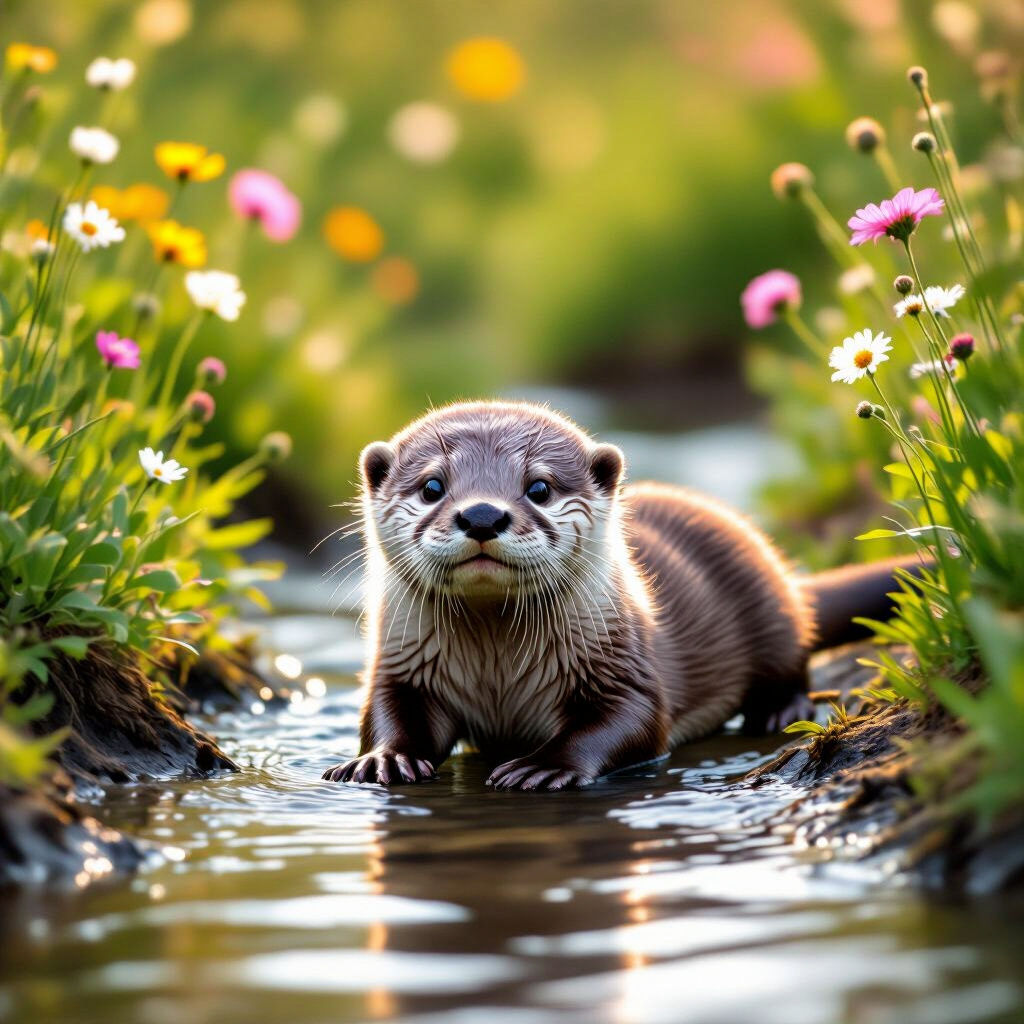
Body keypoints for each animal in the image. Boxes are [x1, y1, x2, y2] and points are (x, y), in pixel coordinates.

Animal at [322, 401, 919, 791]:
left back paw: (778, 710)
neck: (498, 677)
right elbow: (389, 712)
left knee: (793, 649)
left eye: (539, 487)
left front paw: (544, 765)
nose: (484, 514)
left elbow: (633, 720)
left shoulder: (623, 662)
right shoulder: (402, 663)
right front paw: (382, 760)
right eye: (432, 486)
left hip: (769, 606)